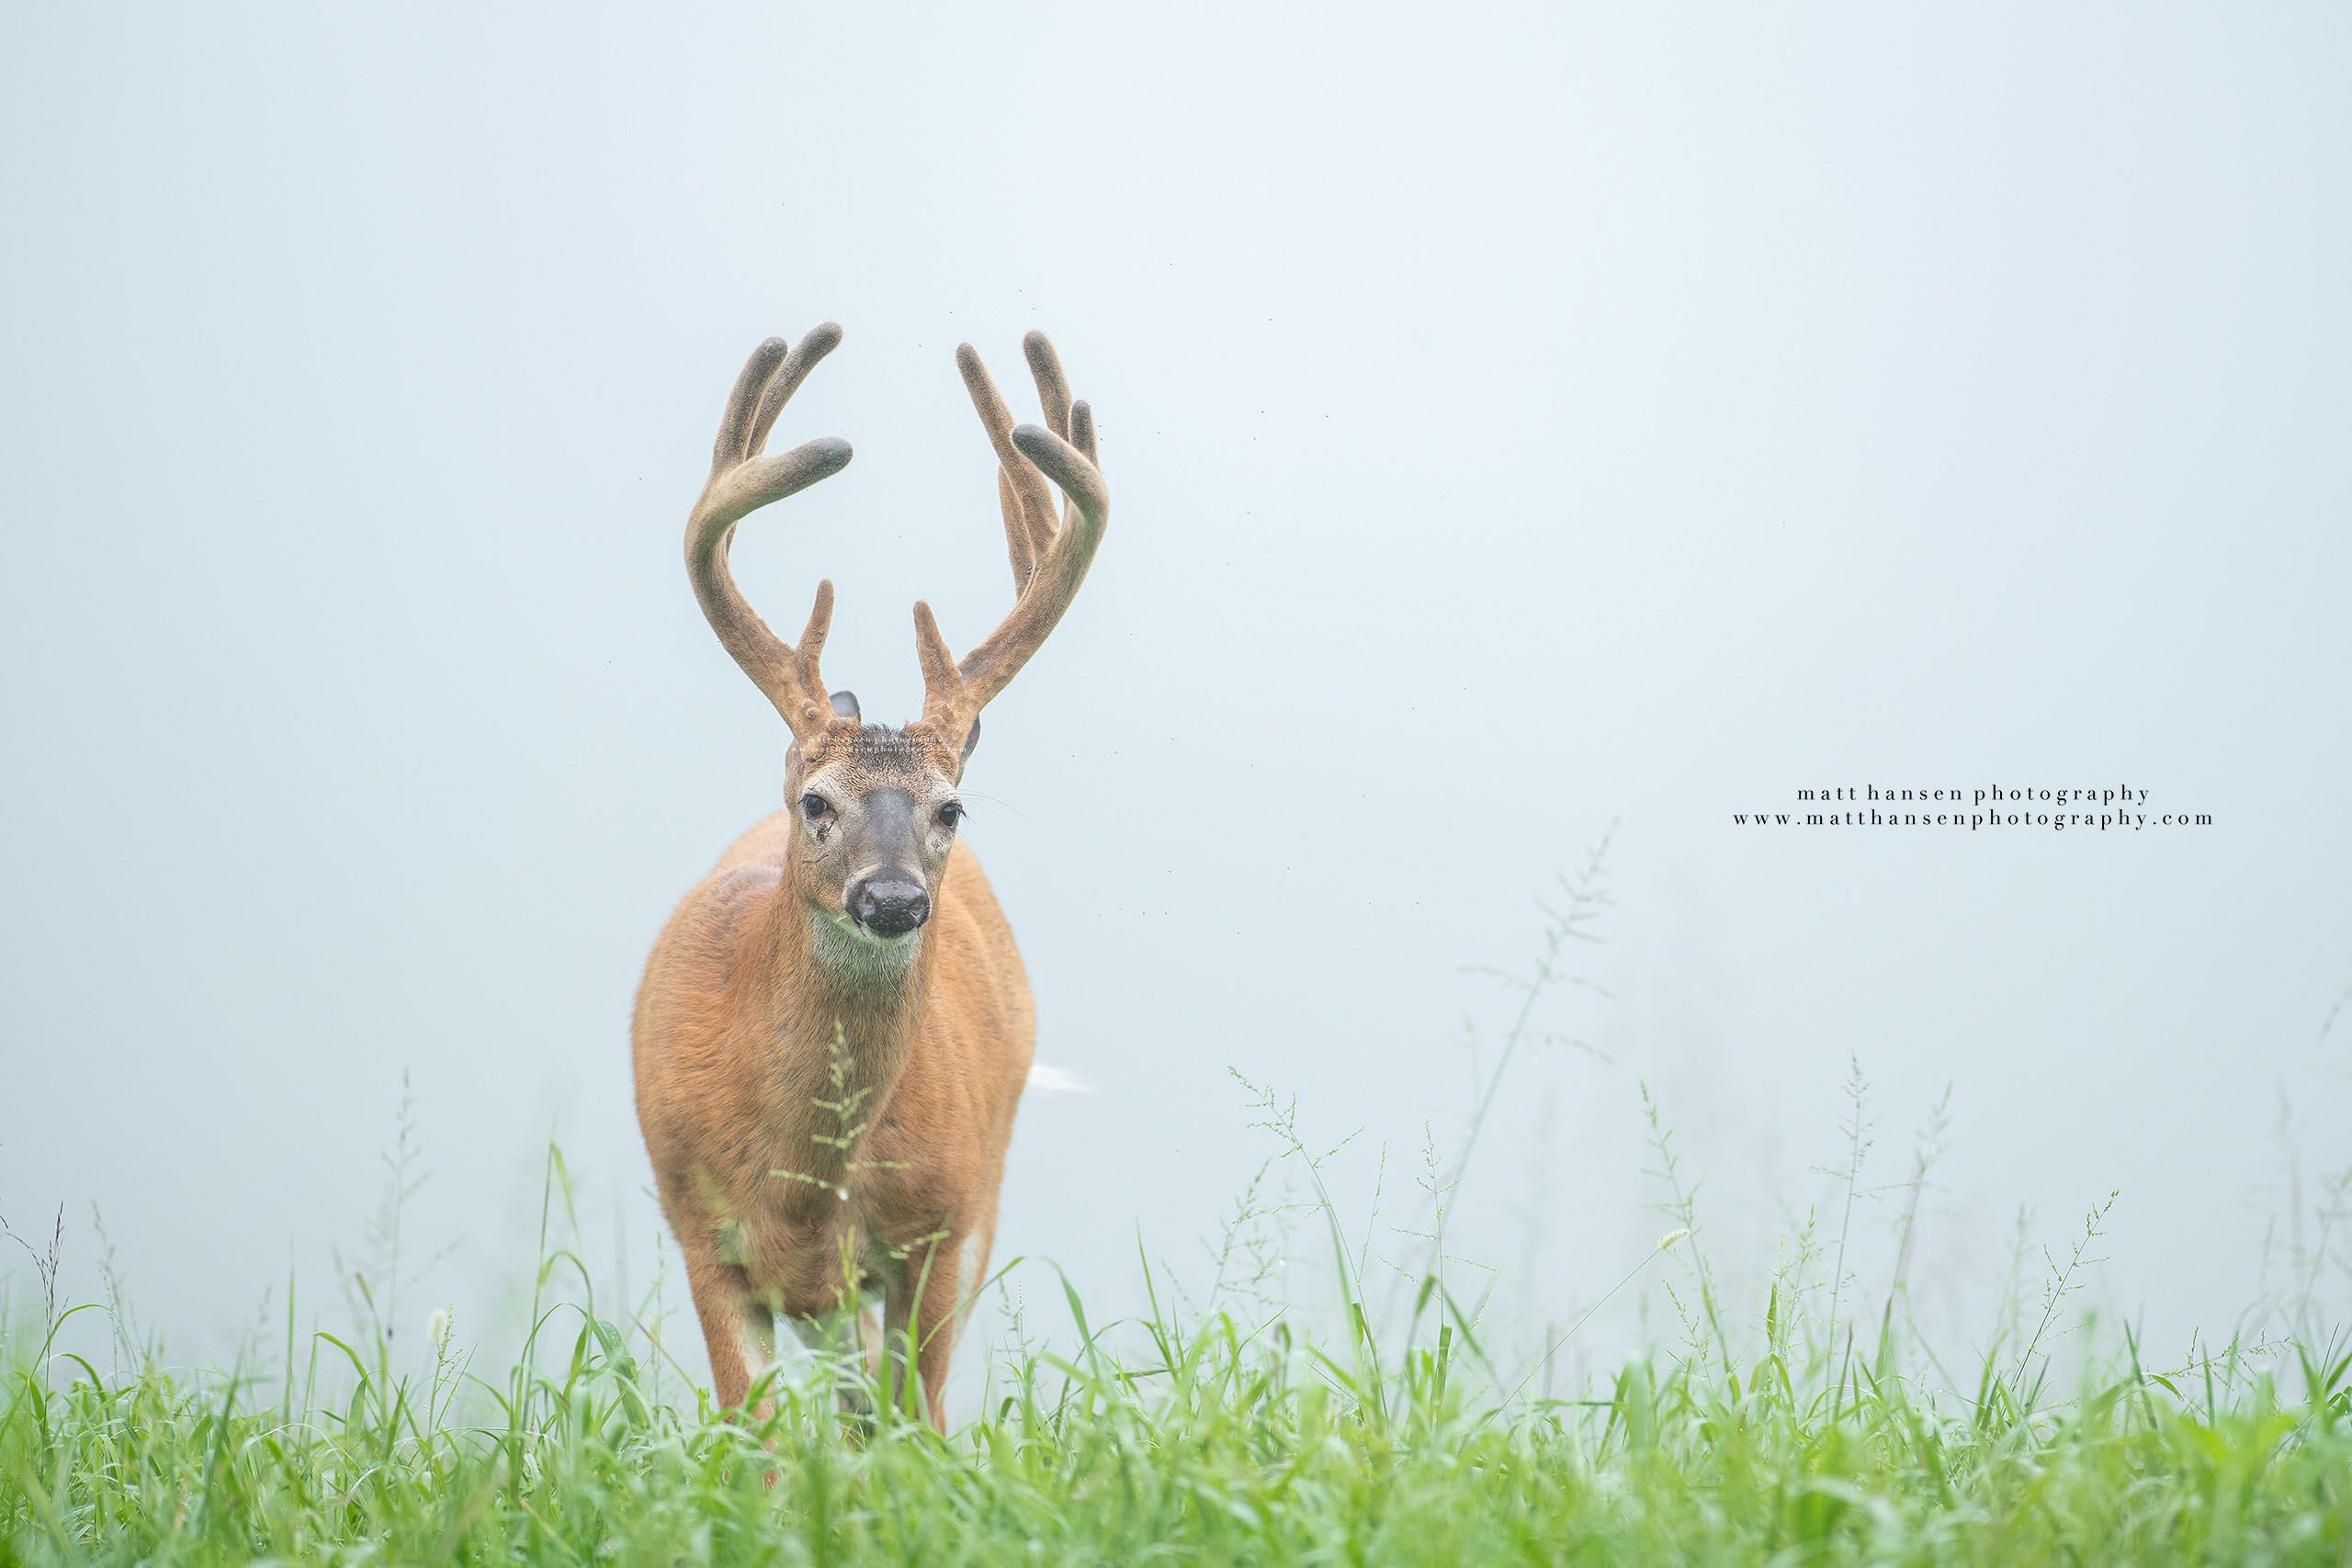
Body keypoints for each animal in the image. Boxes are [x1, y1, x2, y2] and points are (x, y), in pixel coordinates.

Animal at [631, 322, 1107, 1432]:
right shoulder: (699, 1233)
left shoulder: (938, 1227)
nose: (892, 898)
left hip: (981, 1187)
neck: (802, 1188)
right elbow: (756, 1438)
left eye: (950, 808)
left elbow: (914, 1427)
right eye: (816, 803)